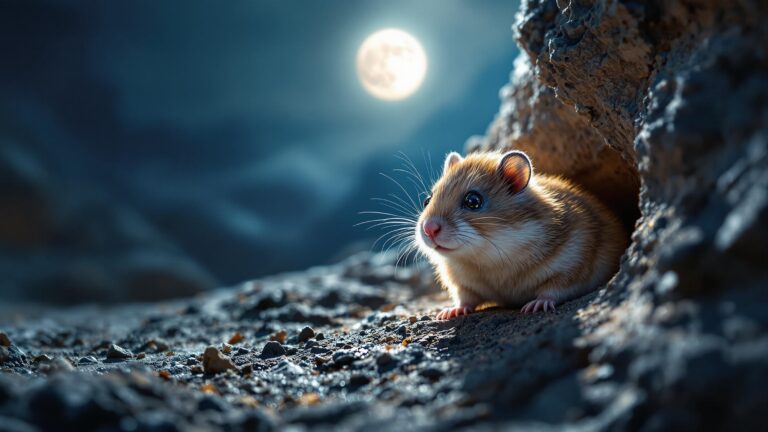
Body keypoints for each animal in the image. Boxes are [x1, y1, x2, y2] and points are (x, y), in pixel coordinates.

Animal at [416, 150, 627, 320]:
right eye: (427, 200)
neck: (492, 259)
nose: (428, 228)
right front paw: (449, 312)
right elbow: (465, 299)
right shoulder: (463, 285)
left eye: (473, 201)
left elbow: (553, 290)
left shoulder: (573, 266)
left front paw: (536, 305)